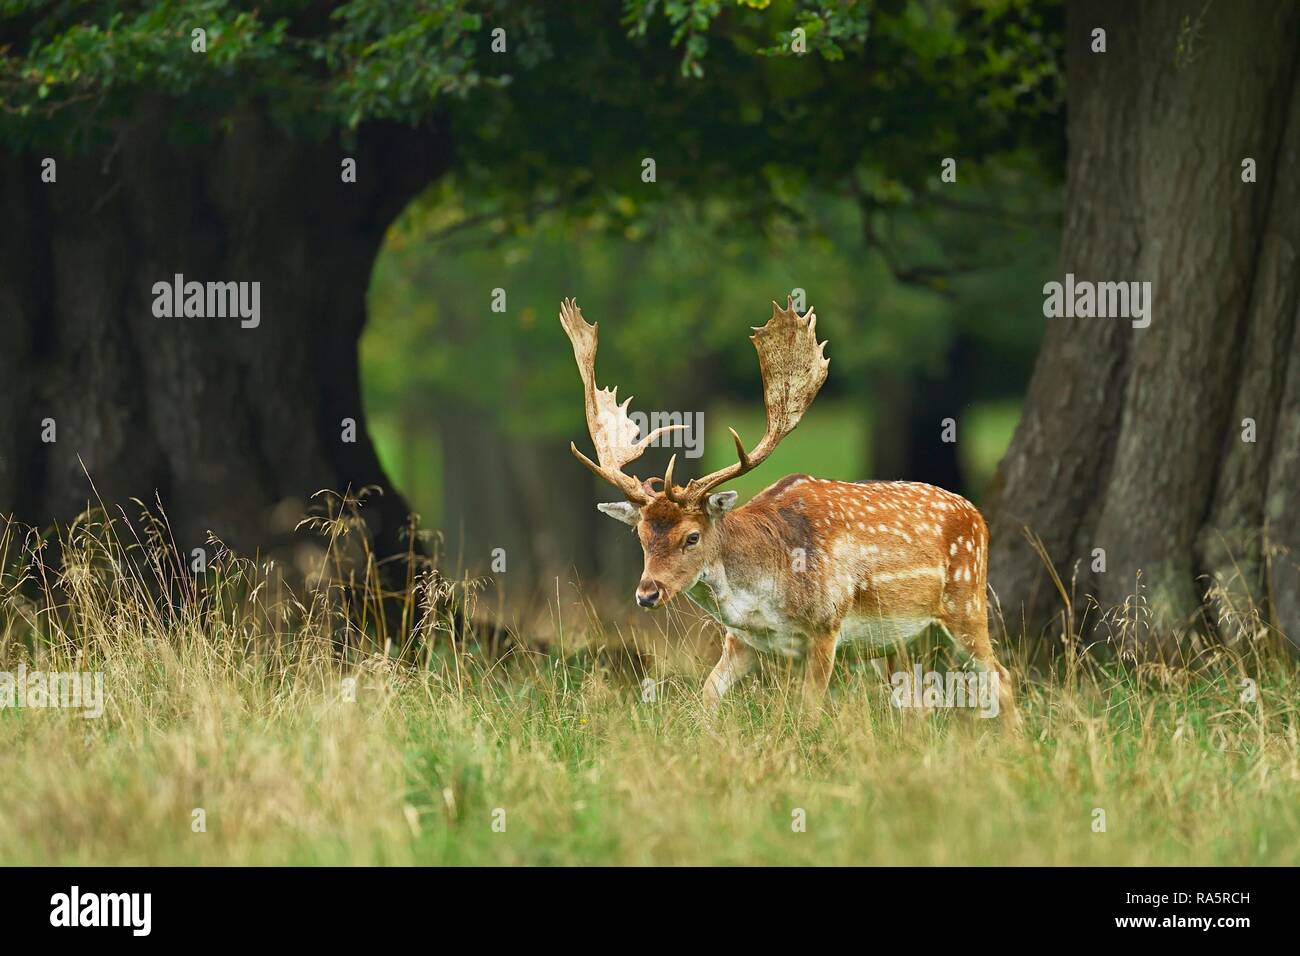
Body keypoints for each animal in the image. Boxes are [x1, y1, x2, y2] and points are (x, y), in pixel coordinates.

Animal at [560, 296, 1019, 728]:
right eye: (640, 535)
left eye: (691, 536)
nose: (647, 593)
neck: (764, 592)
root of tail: (977, 515)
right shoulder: (741, 641)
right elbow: (707, 695)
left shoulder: (826, 626)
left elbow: (809, 711)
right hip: (893, 640)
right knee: (917, 704)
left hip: (965, 602)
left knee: (1001, 675)